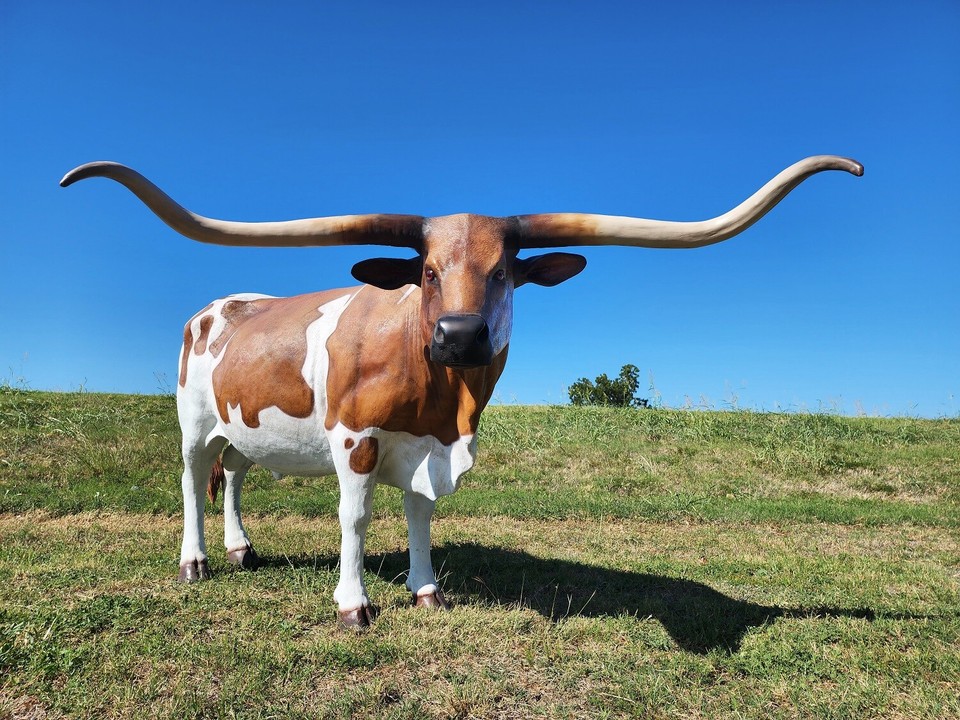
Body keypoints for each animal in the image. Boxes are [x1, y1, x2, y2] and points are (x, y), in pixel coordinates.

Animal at [61, 155, 862, 626]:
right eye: (427, 271)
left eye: (503, 270)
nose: (459, 334)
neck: (446, 403)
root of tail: (220, 304)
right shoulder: (356, 440)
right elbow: (356, 521)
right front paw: (354, 604)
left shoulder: (428, 447)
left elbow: (420, 518)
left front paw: (426, 589)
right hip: (194, 425)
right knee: (194, 482)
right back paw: (196, 561)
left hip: (245, 428)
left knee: (233, 477)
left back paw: (241, 549)